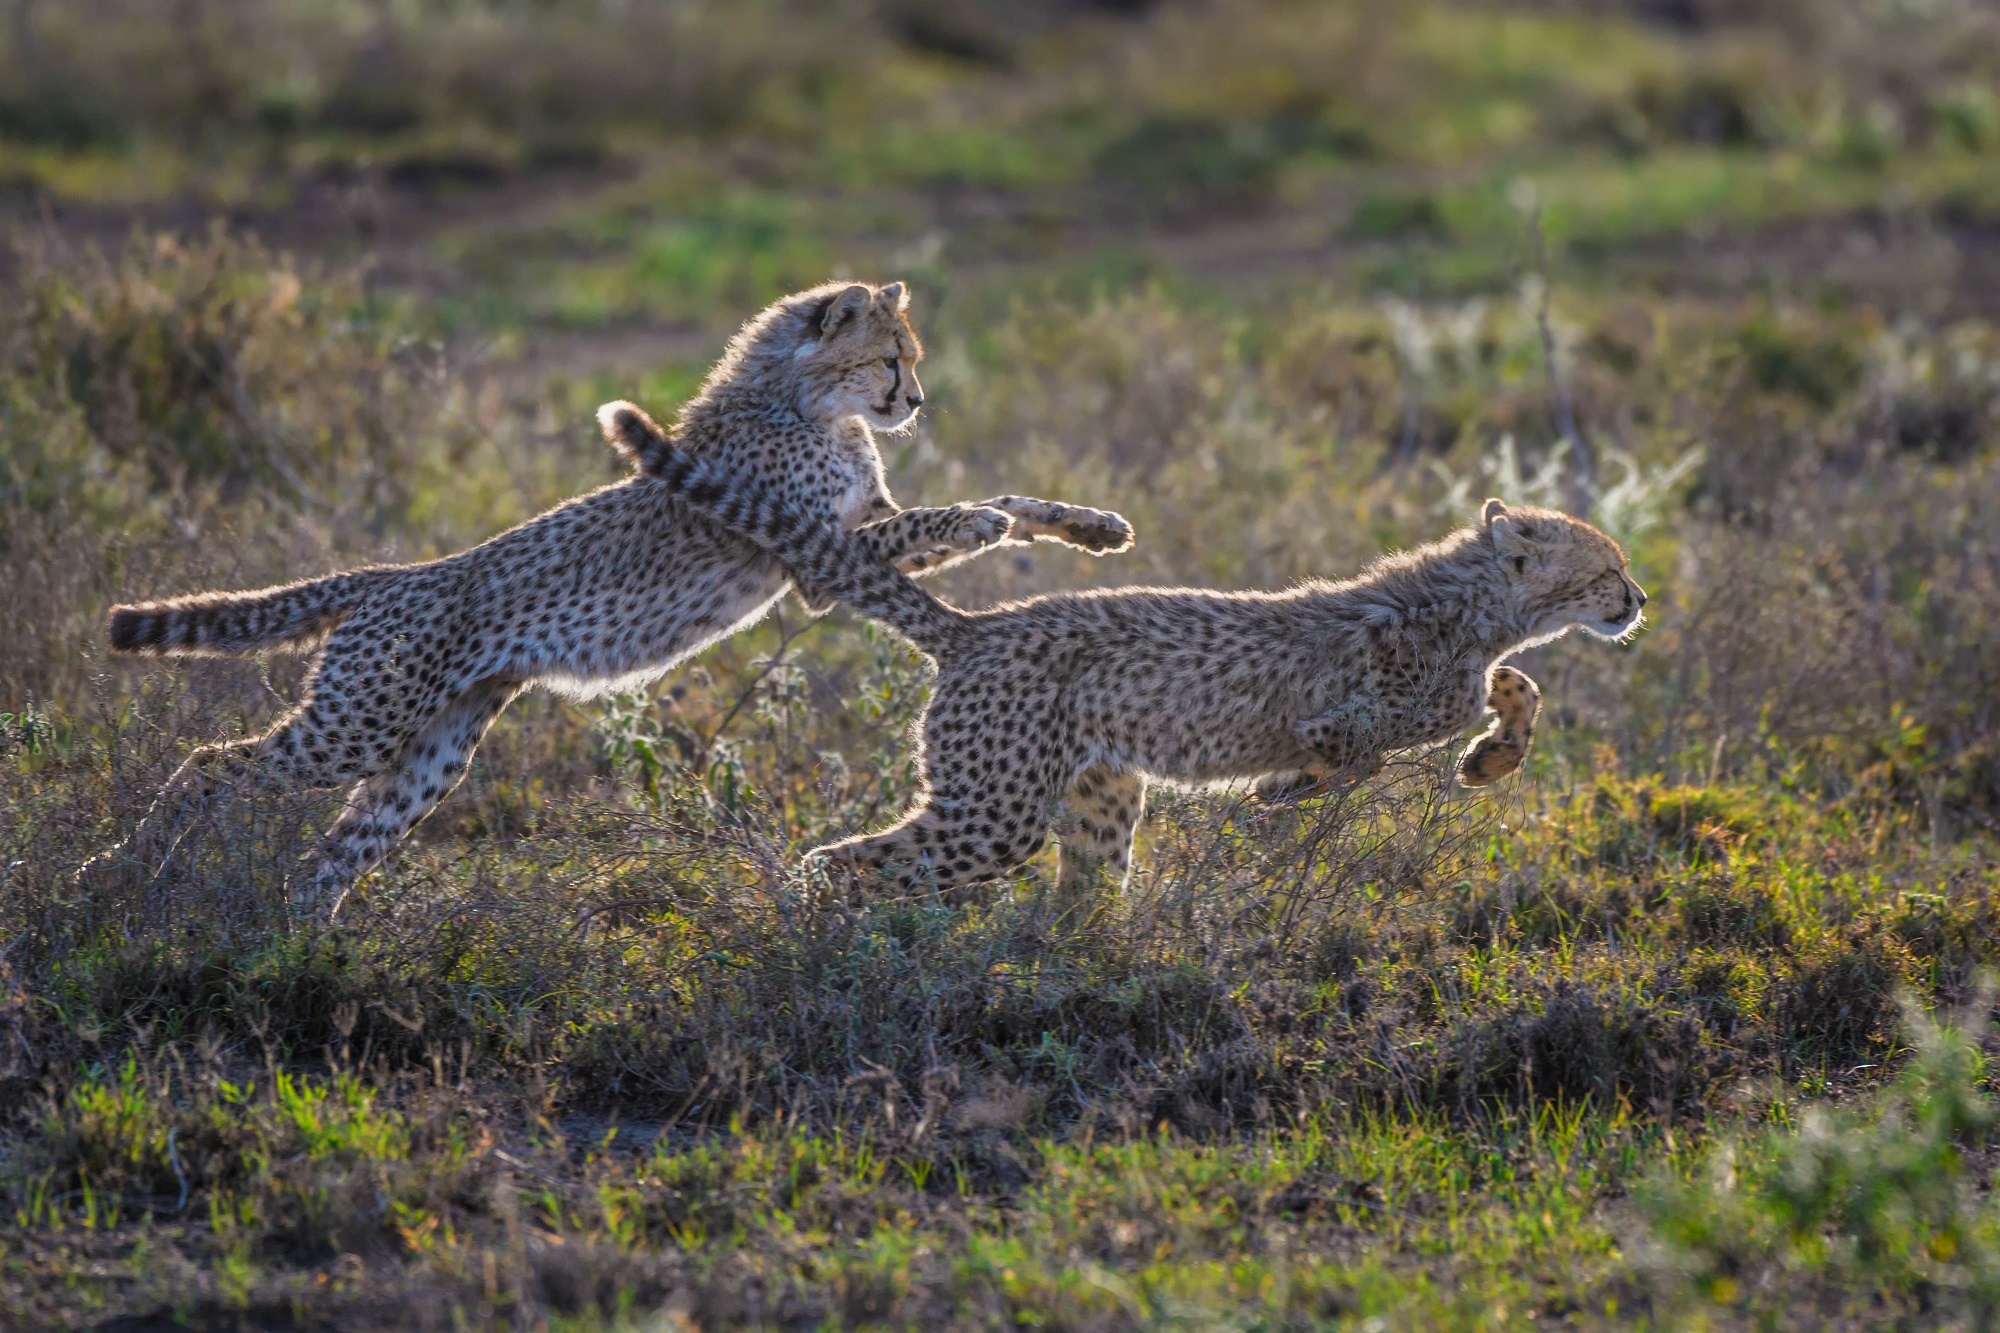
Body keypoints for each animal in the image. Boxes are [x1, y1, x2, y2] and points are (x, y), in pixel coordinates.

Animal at [97, 280, 1135, 919]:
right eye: (890, 359)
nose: (913, 402)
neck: (809, 406)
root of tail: (394, 574)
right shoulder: (817, 560)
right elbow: (953, 515)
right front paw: (985, 523)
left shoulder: (857, 531)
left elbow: (1007, 499)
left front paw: (1090, 525)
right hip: (359, 721)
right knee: (211, 764)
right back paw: (116, 869)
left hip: (431, 754)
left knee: (340, 847)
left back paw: (302, 948)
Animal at [596, 409, 1649, 899]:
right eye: (1609, 566)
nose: (1639, 600)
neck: (1476, 604)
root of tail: (978, 626)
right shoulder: (1341, 714)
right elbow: (1359, 754)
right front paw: (1285, 791)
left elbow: (1512, 688)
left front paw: (1491, 757)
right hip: (995, 811)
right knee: (843, 860)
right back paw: (837, 943)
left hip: (1094, 801)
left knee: (1080, 893)